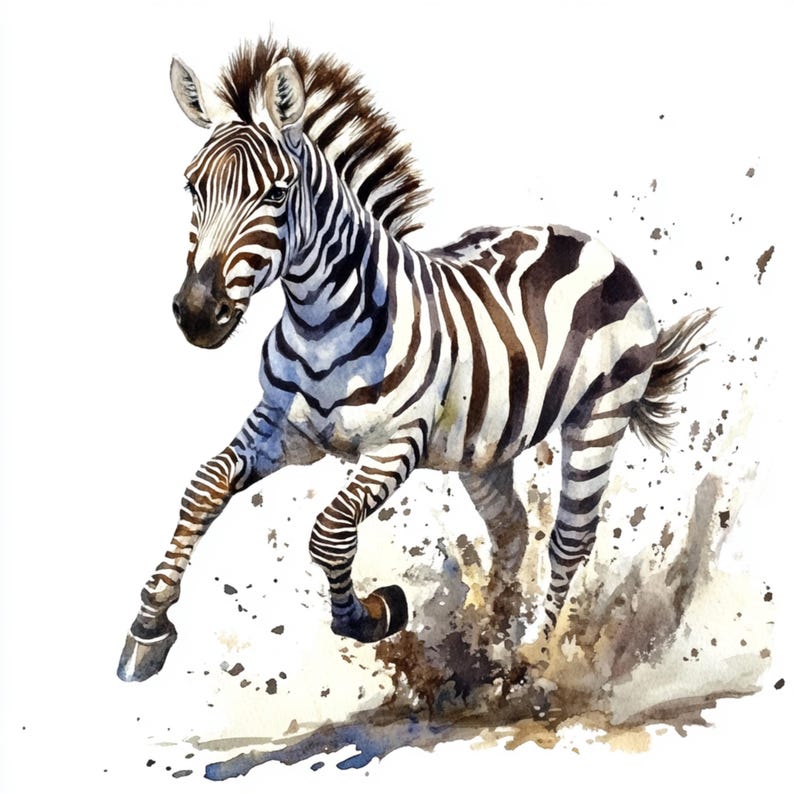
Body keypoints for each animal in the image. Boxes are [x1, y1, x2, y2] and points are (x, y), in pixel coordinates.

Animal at [118, 38, 710, 683]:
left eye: (275, 194)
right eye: (191, 187)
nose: (198, 314)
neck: (319, 321)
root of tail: (582, 239)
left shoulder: (396, 444)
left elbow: (330, 532)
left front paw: (373, 613)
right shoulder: (279, 428)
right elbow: (203, 488)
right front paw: (148, 627)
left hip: (599, 419)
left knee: (568, 540)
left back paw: (531, 659)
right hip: (485, 445)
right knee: (511, 529)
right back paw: (488, 640)